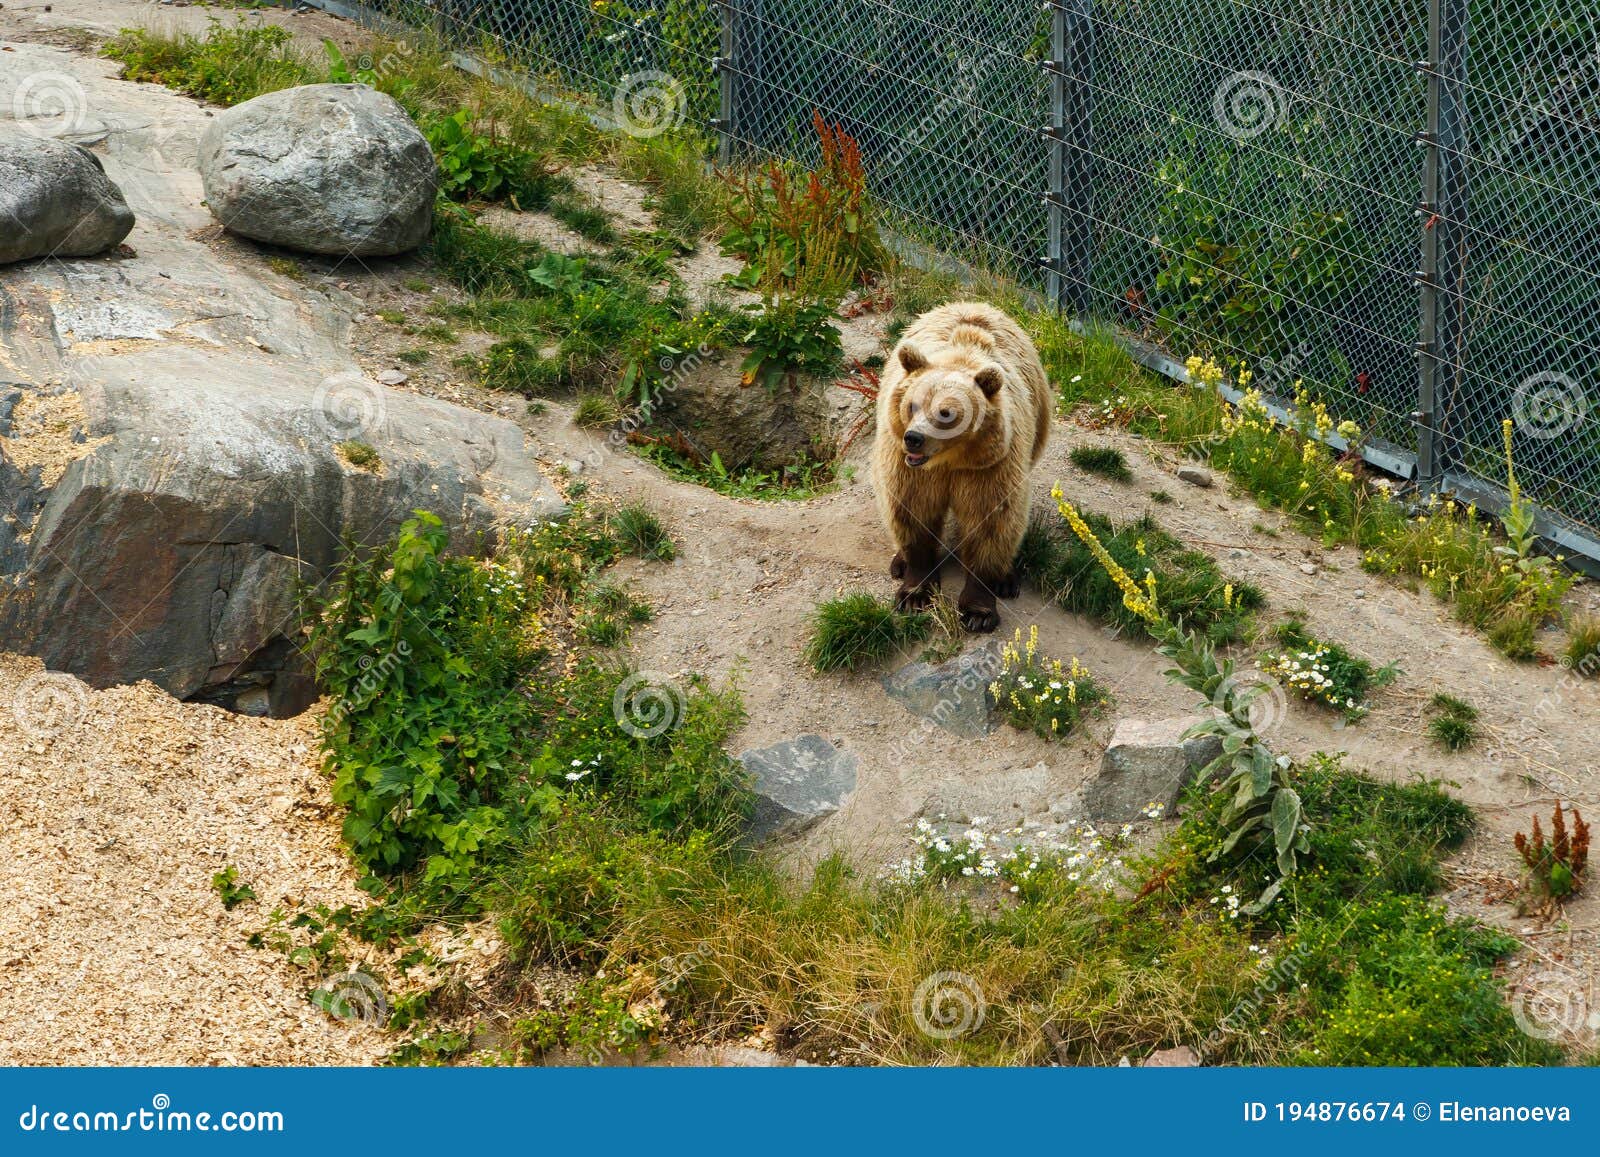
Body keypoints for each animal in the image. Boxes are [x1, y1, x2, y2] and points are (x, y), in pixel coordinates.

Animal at [871, 301, 1052, 632]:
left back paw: (1007, 579)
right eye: (912, 405)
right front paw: (915, 593)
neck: (950, 462)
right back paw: (899, 562)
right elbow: (912, 512)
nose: (913, 439)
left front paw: (978, 612)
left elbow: (990, 524)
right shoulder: (911, 471)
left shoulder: (989, 468)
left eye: (946, 413)